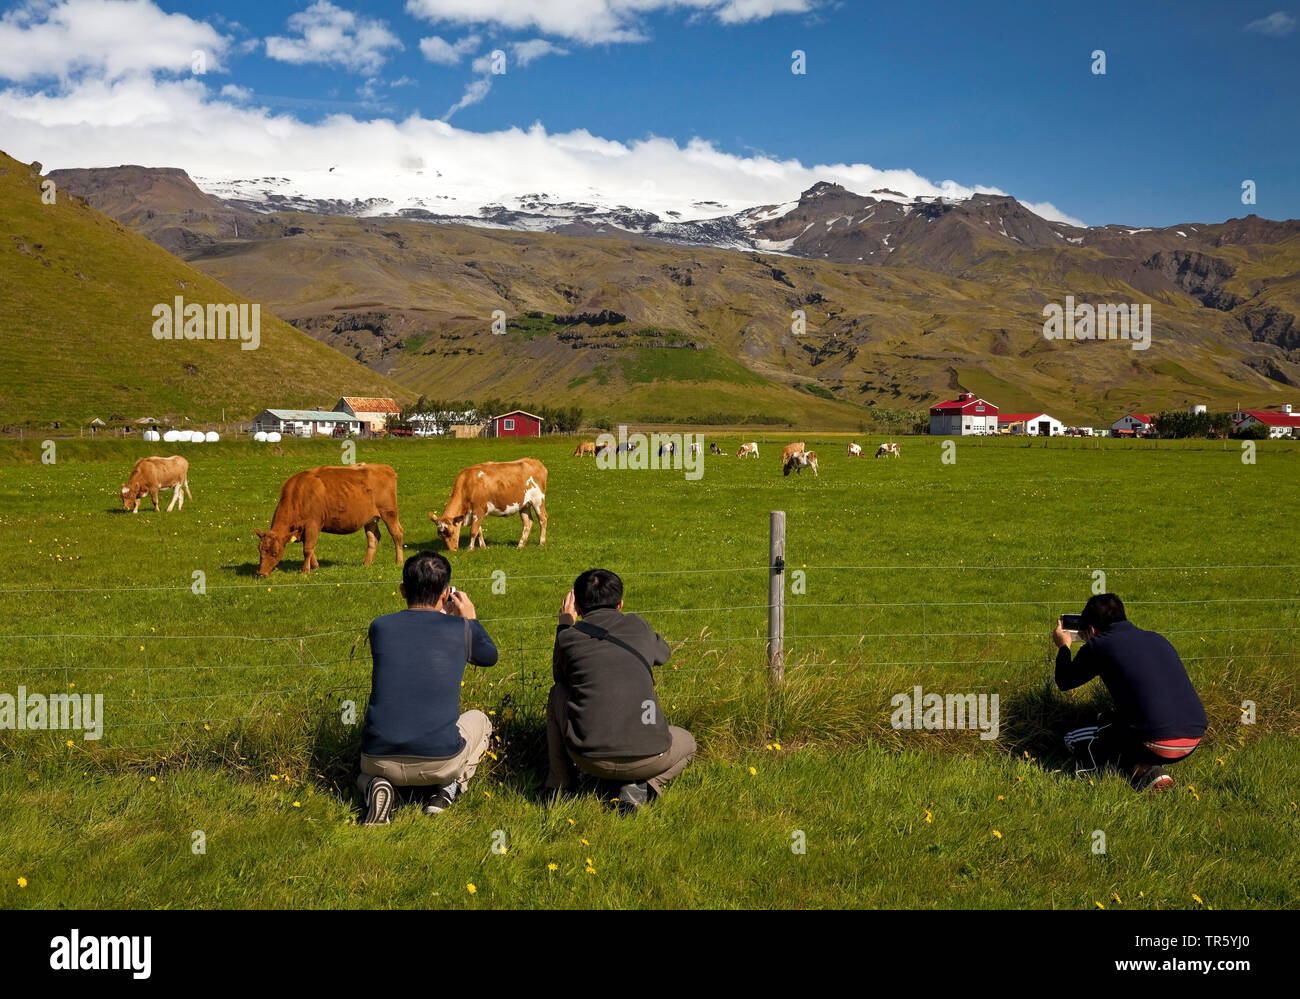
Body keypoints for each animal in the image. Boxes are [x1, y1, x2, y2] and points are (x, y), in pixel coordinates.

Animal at [249, 463, 400, 577]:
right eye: (260, 551)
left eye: (275, 553)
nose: (261, 573)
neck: (300, 494)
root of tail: (384, 467)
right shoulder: (303, 529)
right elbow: (310, 549)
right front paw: (315, 566)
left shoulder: (313, 524)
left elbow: (307, 549)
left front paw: (305, 571)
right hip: (370, 519)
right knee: (373, 538)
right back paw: (366, 564)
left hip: (389, 512)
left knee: (397, 534)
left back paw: (398, 561)